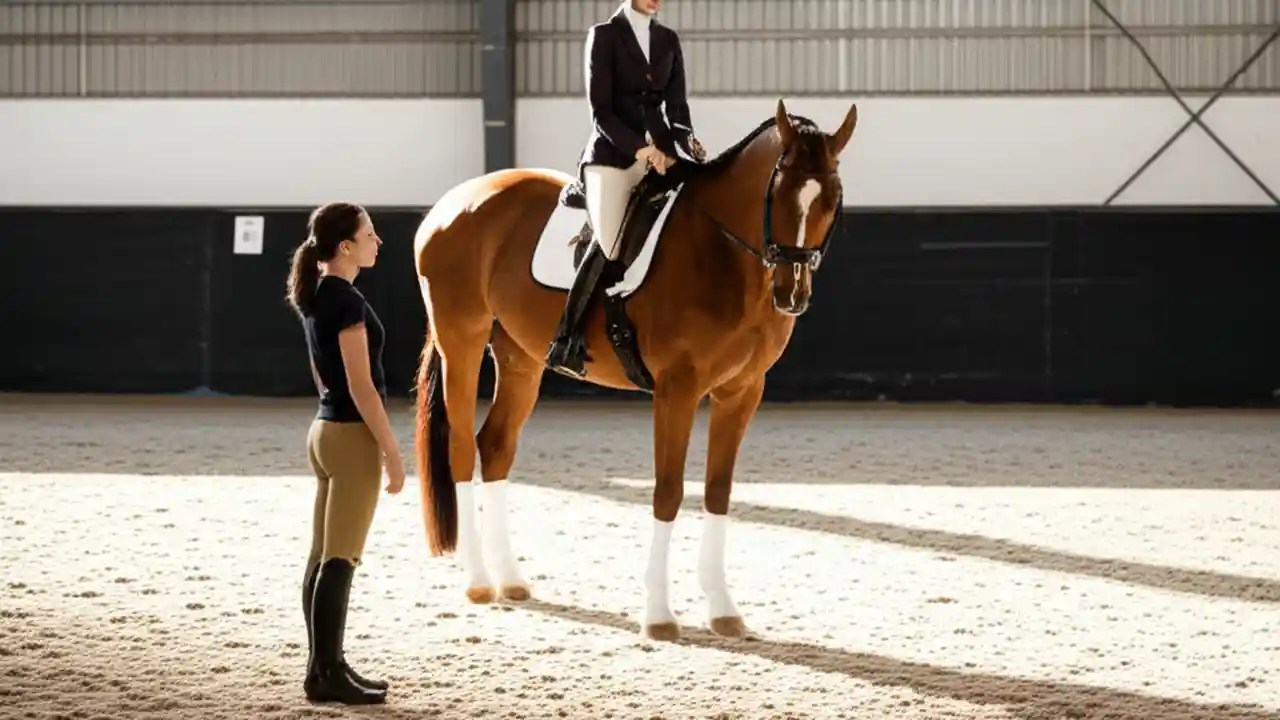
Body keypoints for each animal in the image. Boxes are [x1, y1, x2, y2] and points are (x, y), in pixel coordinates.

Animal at [411, 99, 858, 641]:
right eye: (779, 193)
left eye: (832, 200)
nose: (792, 294)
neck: (723, 255)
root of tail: (450, 203)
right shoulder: (677, 389)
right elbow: (668, 493)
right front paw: (660, 616)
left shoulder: (742, 391)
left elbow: (718, 491)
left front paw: (723, 610)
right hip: (464, 342)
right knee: (459, 447)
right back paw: (478, 582)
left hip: (519, 359)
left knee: (494, 446)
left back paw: (511, 580)